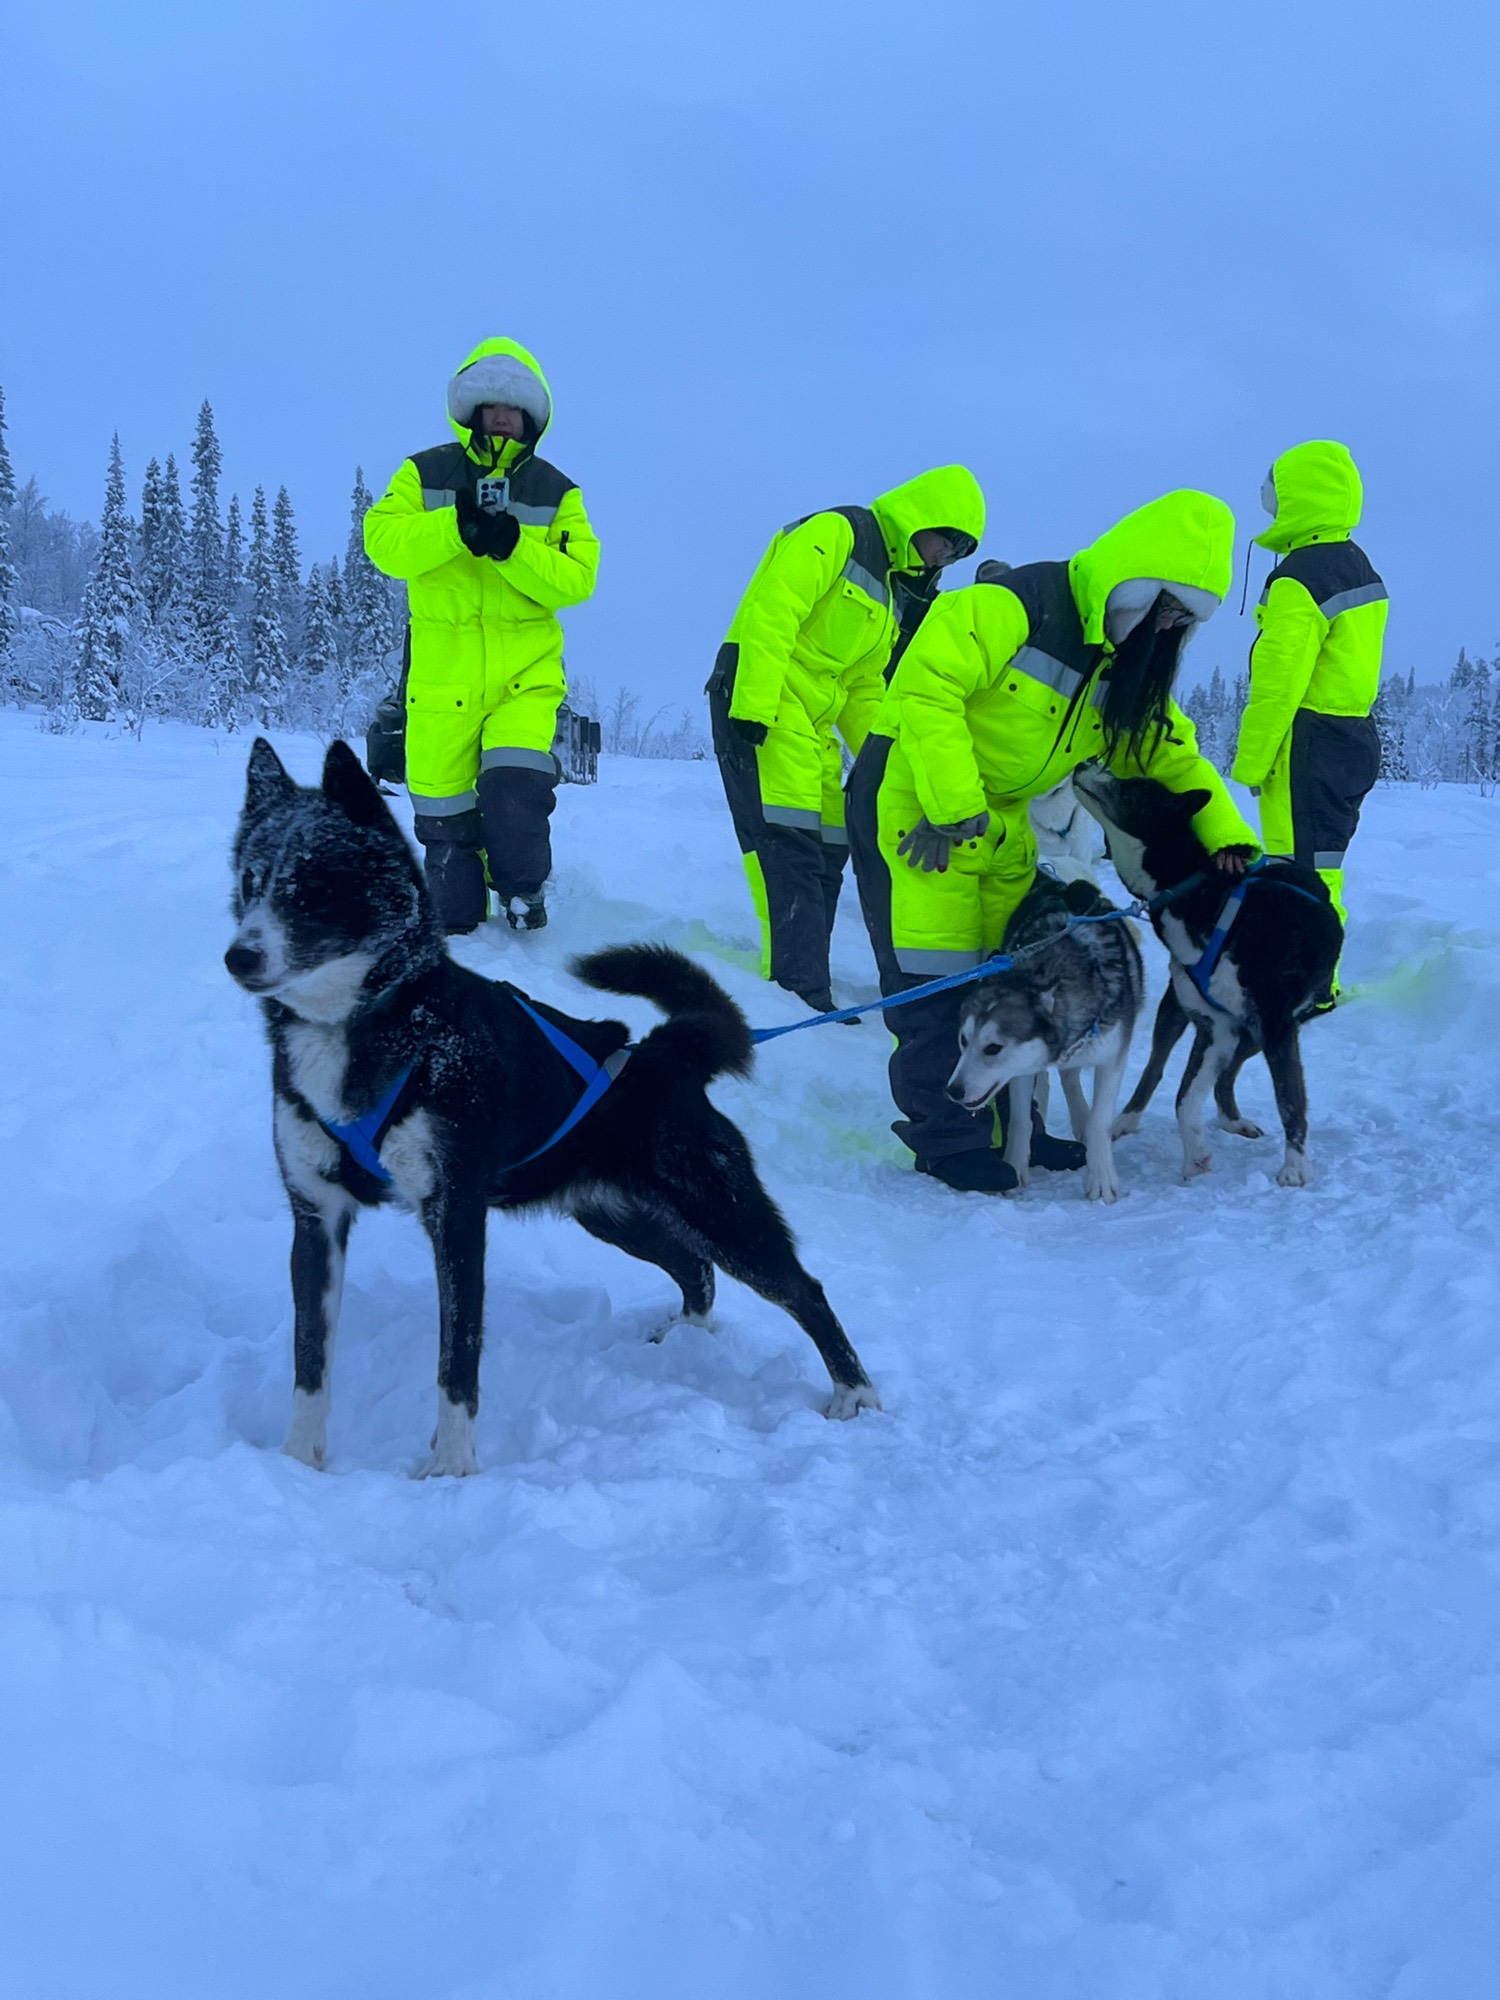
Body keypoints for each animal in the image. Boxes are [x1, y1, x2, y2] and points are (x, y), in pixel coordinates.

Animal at [225, 744, 880, 1480]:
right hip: (614, 1214)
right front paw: (296, 1462)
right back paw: (685, 1337)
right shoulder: (316, 1216)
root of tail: (663, 1051)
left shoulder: (455, 1217)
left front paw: (451, 1468)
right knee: (696, 1271)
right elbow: (311, 1358)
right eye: (251, 880)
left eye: (310, 886)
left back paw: (855, 1393)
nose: (238, 955)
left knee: (802, 1288)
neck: (377, 1025)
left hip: (718, 1210)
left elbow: (458, 1360)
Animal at [952, 876, 1152, 1200]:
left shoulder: (1112, 1059)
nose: (953, 1091)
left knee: (1070, 1079)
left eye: (993, 1048)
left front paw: (1101, 1178)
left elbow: (1099, 1120)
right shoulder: (1022, 1069)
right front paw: (1016, 1168)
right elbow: (1021, 1118)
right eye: (963, 1041)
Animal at [1072, 764, 1344, 1184]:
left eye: (1132, 787)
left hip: (1256, 1032)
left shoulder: (1275, 1027)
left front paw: (1295, 1168)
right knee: (1158, 1067)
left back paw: (1232, 1120)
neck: (1207, 899)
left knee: (1227, 1076)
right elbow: (1184, 1099)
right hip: (1183, 1013)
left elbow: (1289, 1099)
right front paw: (1195, 1156)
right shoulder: (1216, 1026)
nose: (1084, 763)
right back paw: (1127, 1121)